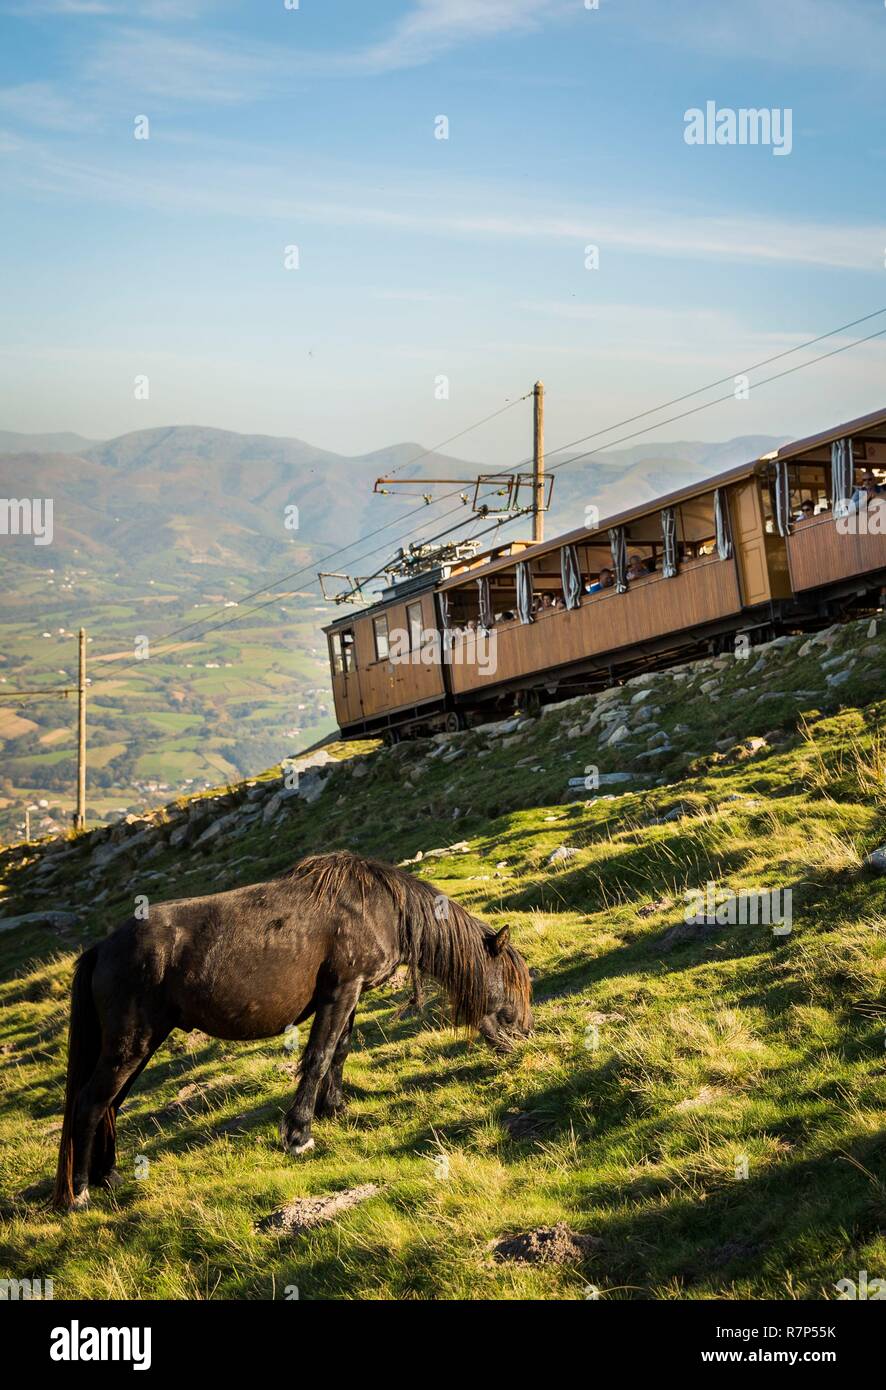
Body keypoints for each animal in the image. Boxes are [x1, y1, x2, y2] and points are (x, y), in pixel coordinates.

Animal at [53, 850, 533, 1211]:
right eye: (509, 984)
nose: (524, 1040)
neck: (378, 908)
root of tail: (102, 947)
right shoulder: (341, 990)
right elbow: (319, 1057)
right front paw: (300, 1134)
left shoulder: (349, 993)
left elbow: (339, 1051)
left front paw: (334, 1110)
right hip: (131, 1043)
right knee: (92, 1103)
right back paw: (80, 1194)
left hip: (139, 1045)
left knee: (110, 1105)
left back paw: (110, 1177)